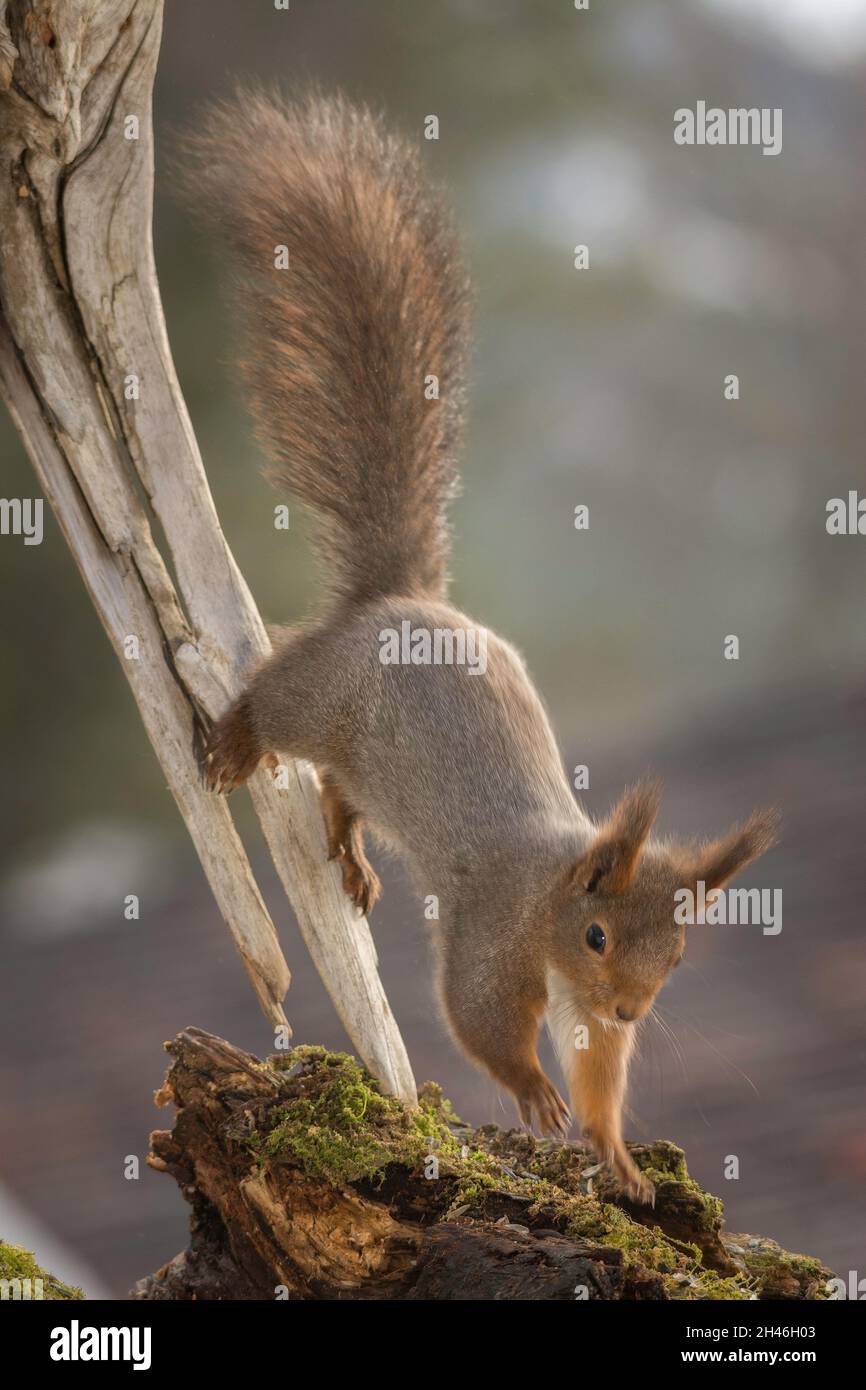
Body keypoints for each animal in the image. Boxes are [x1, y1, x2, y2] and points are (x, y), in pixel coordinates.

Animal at [185, 89, 778, 1202]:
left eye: (678, 956)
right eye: (596, 933)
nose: (631, 1008)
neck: (552, 894)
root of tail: (403, 598)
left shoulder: (589, 1016)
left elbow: (601, 1075)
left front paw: (614, 1155)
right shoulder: (492, 933)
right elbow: (478, 1020)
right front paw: (533, 1095)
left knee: (341, 791)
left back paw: (349, 856)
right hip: (323, 693)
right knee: (275, 700)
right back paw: (237, 744)